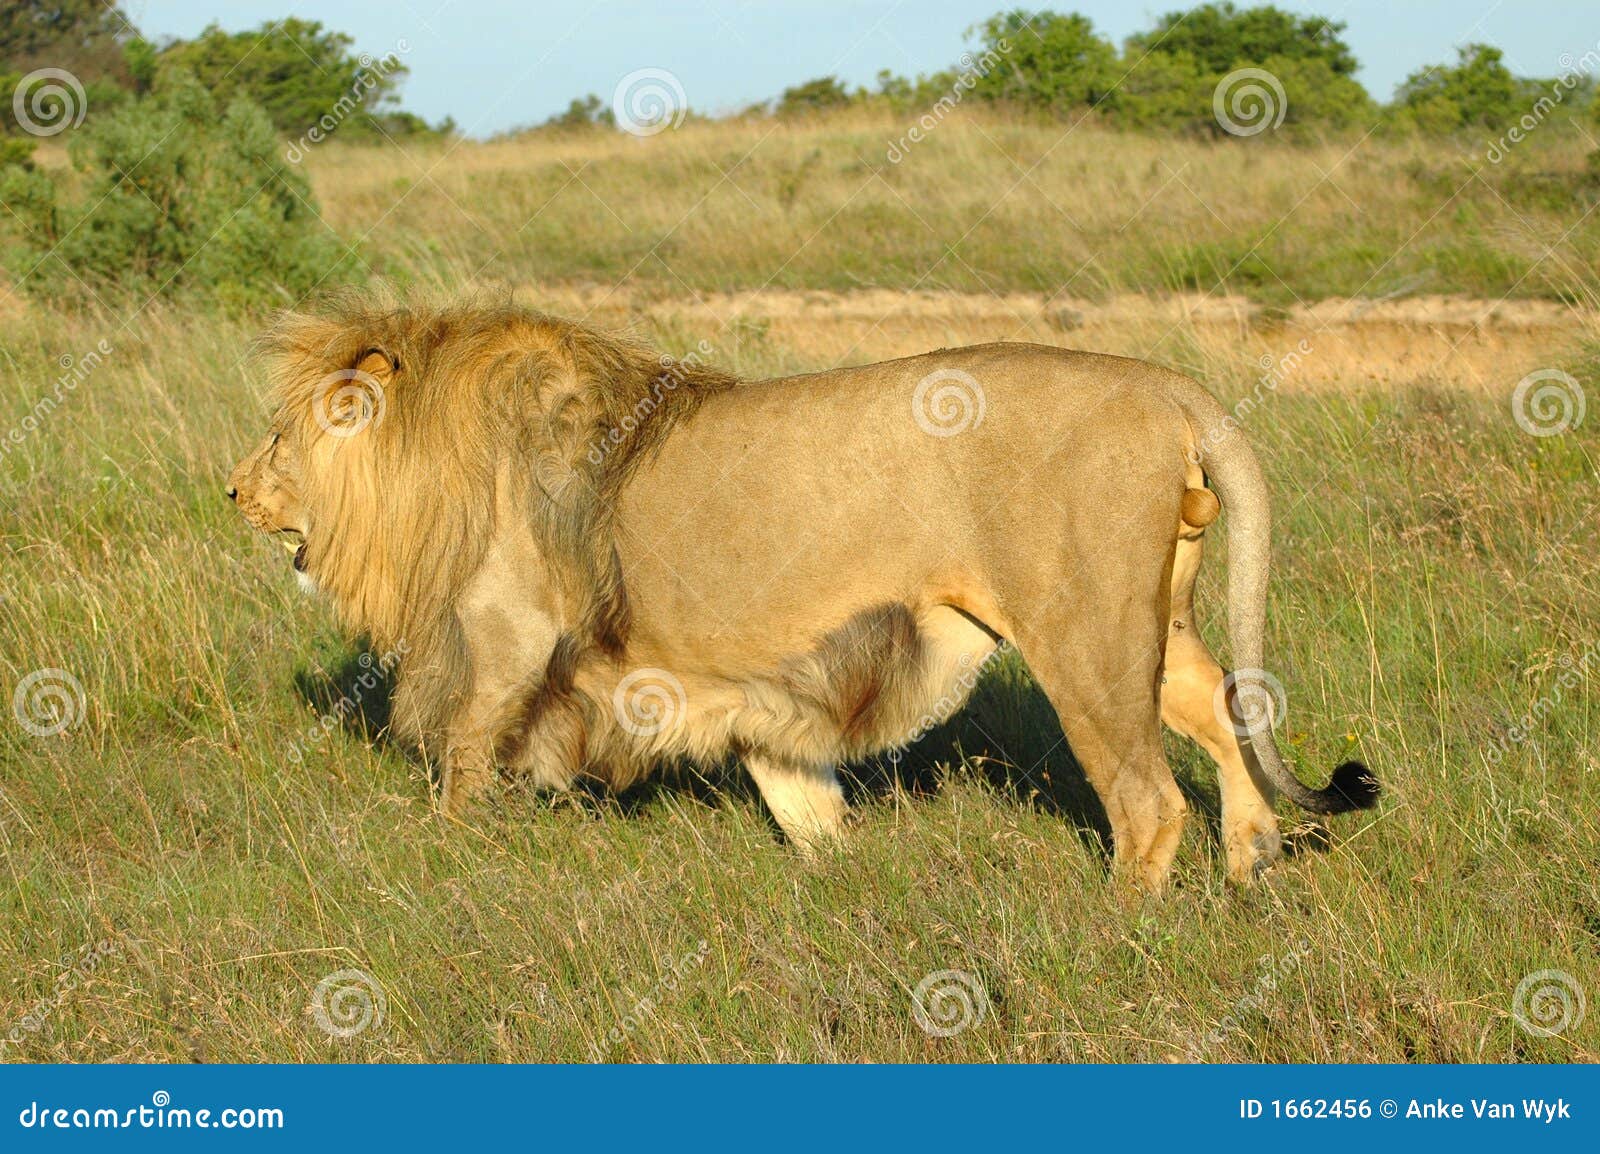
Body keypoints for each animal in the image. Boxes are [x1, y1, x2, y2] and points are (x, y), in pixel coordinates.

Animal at [227, 292, 1377, 892]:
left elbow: (464, 763)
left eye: (279, 436)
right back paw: (1253, 864)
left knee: (1145, 797)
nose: (230, 489)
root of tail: (1170, 386)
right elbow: (799, 796)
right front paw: (841, 881)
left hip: (1080, 632)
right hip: (1157, 621)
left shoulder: (505, 639)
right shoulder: (748, 686)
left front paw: (452, 863)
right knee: (1222, 713)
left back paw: (1120, 921)